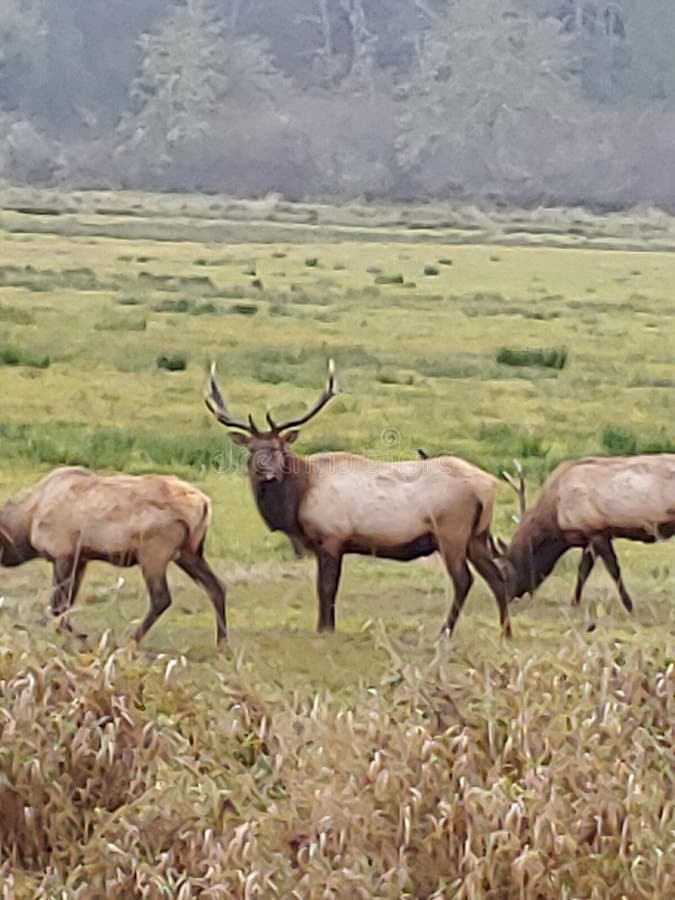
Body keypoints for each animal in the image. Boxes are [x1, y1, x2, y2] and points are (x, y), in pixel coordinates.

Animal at [0, 466, 227, 645]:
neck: (26, 522)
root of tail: (204, 503)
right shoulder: (81, 558)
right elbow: (68, 603)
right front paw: (74, 634)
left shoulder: (63, 553)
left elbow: (58, 605)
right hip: (189, 552)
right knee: (216, 586)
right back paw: (223, 644)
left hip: (154, 552)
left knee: (161, 598)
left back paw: (131, 641)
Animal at [205, 361, 512, 637]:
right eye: (252, 450)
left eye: (278, 449)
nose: (266, 474)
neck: (299, 499)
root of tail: (488, 486)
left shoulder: (332, 536)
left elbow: (326, 588)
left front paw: (325, 629)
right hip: (477, 536)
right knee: (496, 577)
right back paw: (505, 633)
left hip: (452, 532)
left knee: (464, 580)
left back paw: (444, 632)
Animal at [497, 454, 675, 612]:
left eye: (505, 572)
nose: (506, 599)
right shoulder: (588, 537)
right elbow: (583, 571)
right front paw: (574, 603)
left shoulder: (597, 531)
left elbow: (613, 570)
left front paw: (629, 606)